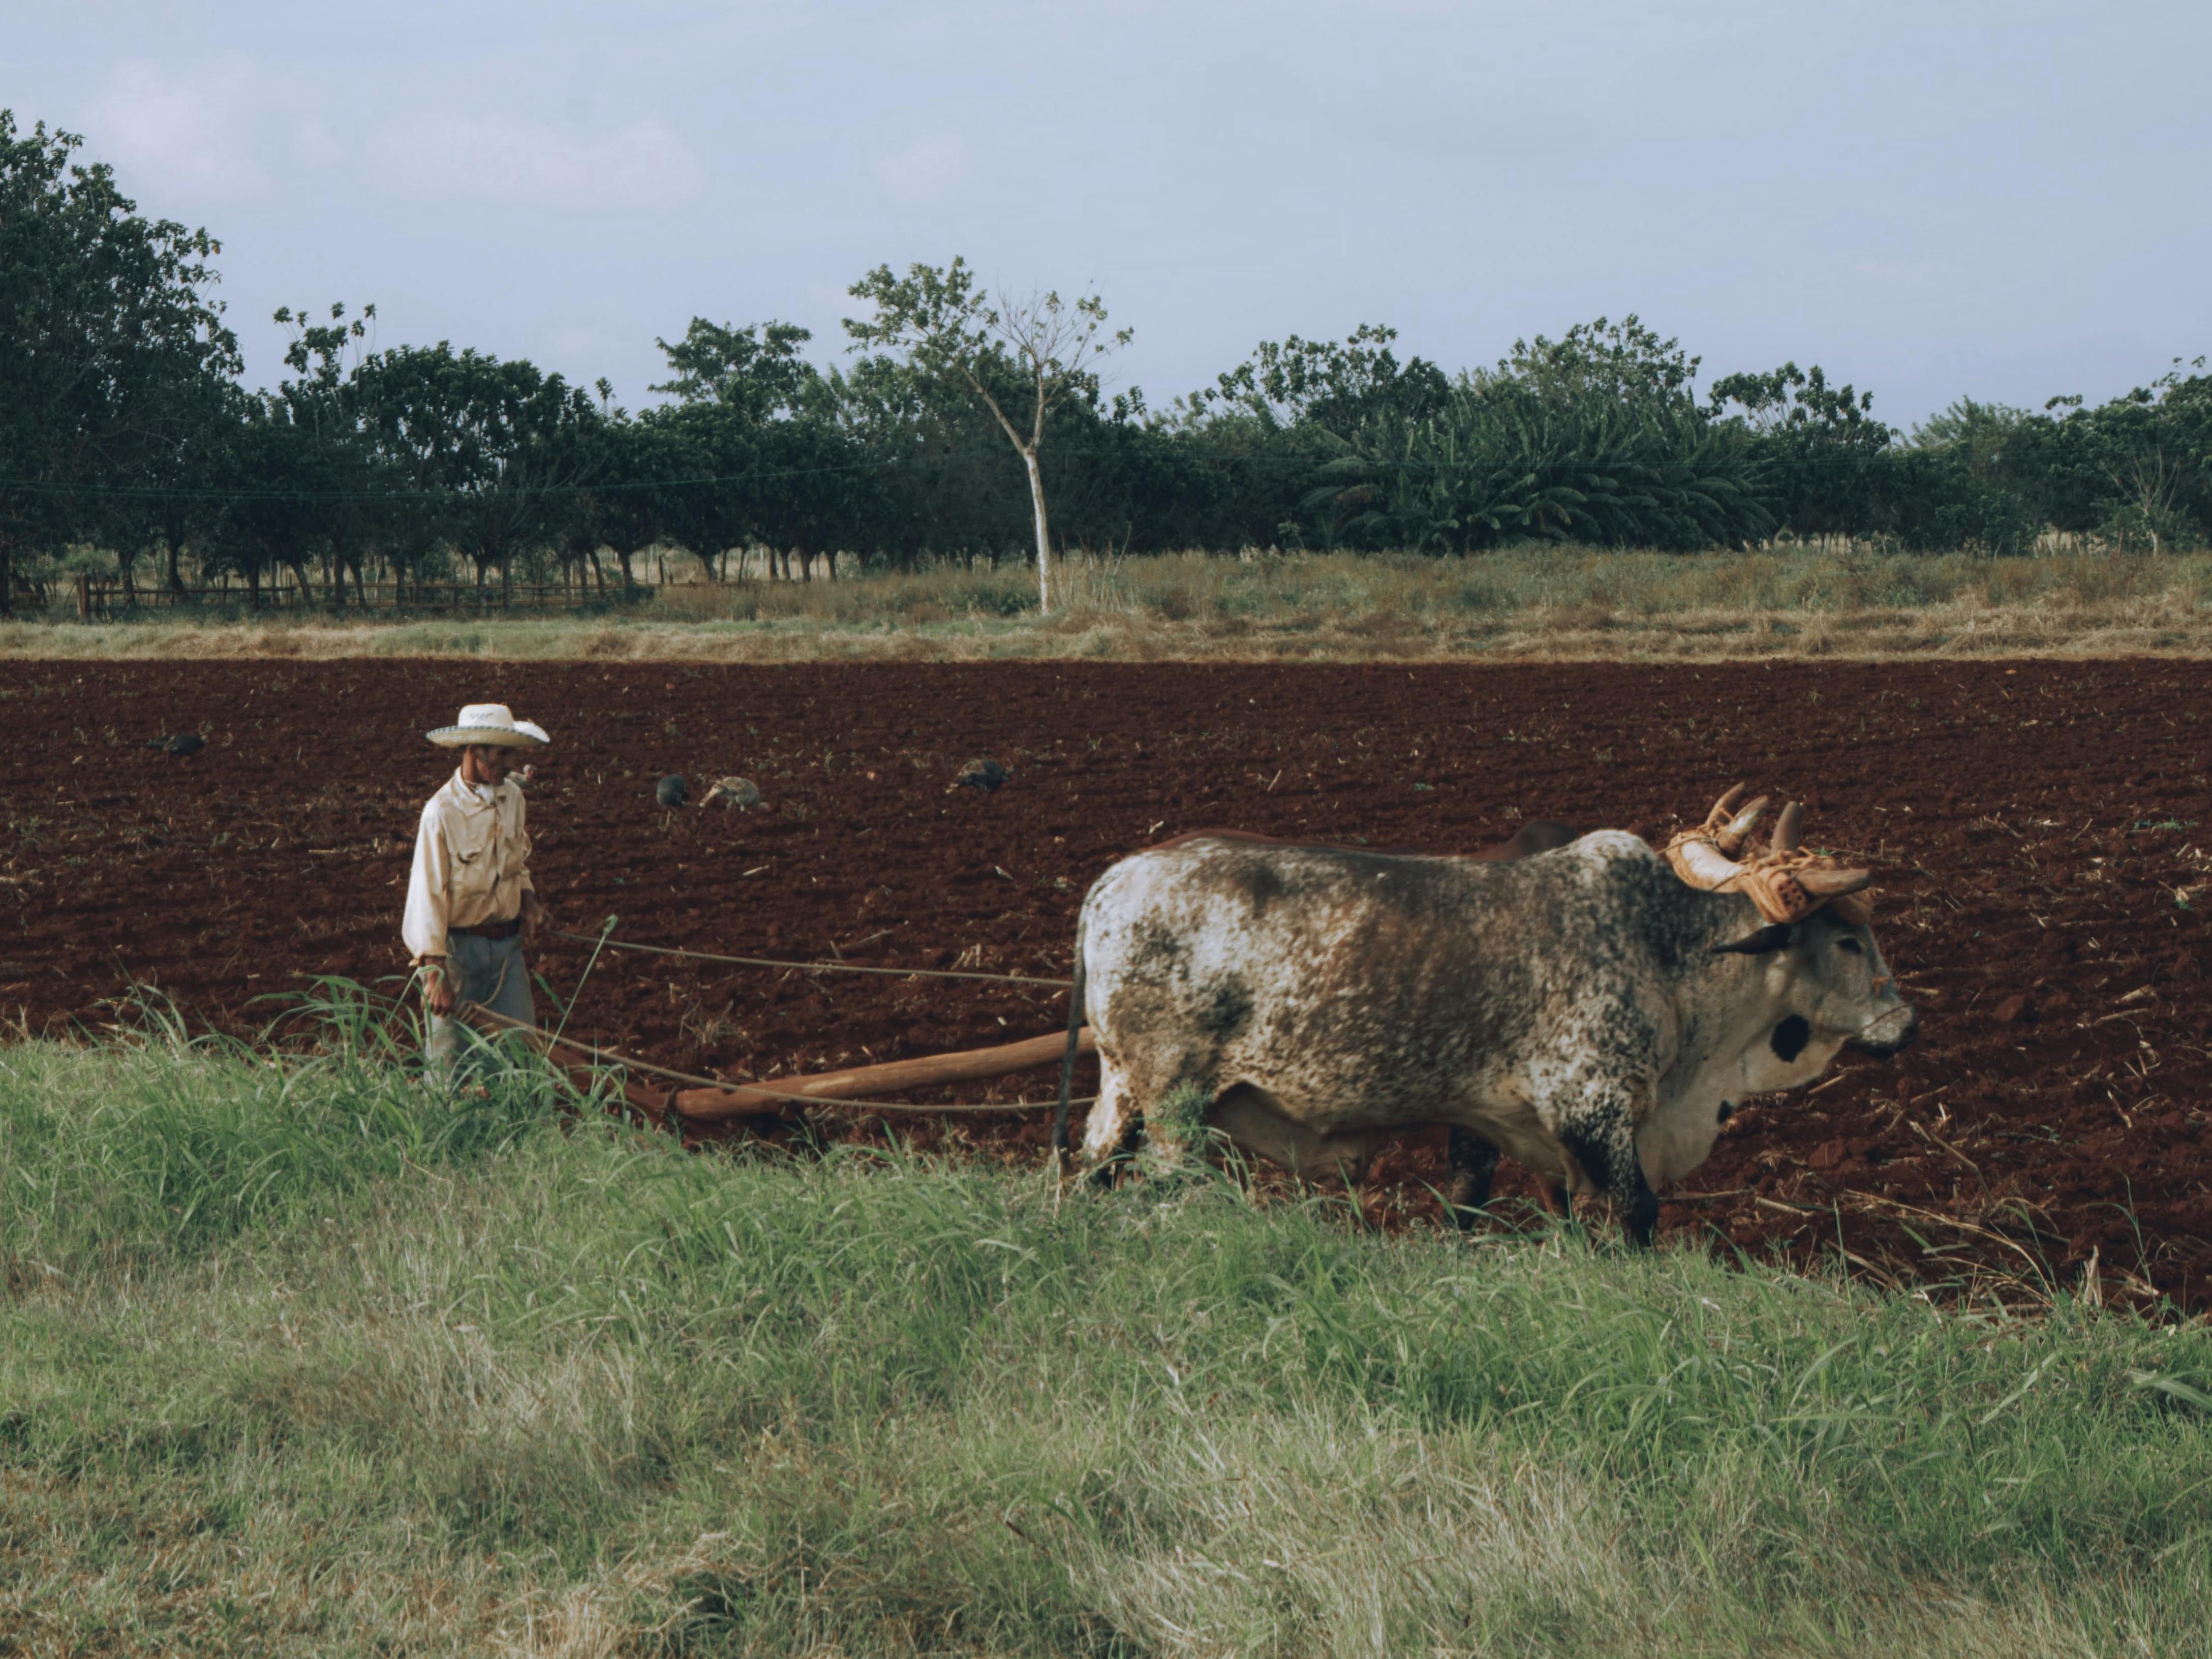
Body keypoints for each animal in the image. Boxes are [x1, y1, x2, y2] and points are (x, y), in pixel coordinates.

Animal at [1050, 790, 1917, 1245]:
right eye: (1847, 938)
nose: (1906, 1024)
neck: (1667, 952)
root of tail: (1112, 881)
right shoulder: (1596, 1111)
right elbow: (1637, 1214)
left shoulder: (1522, 1133)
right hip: (1174, 1103)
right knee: (1163, 1183)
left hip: (1121, 1092)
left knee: (1090, 1167)